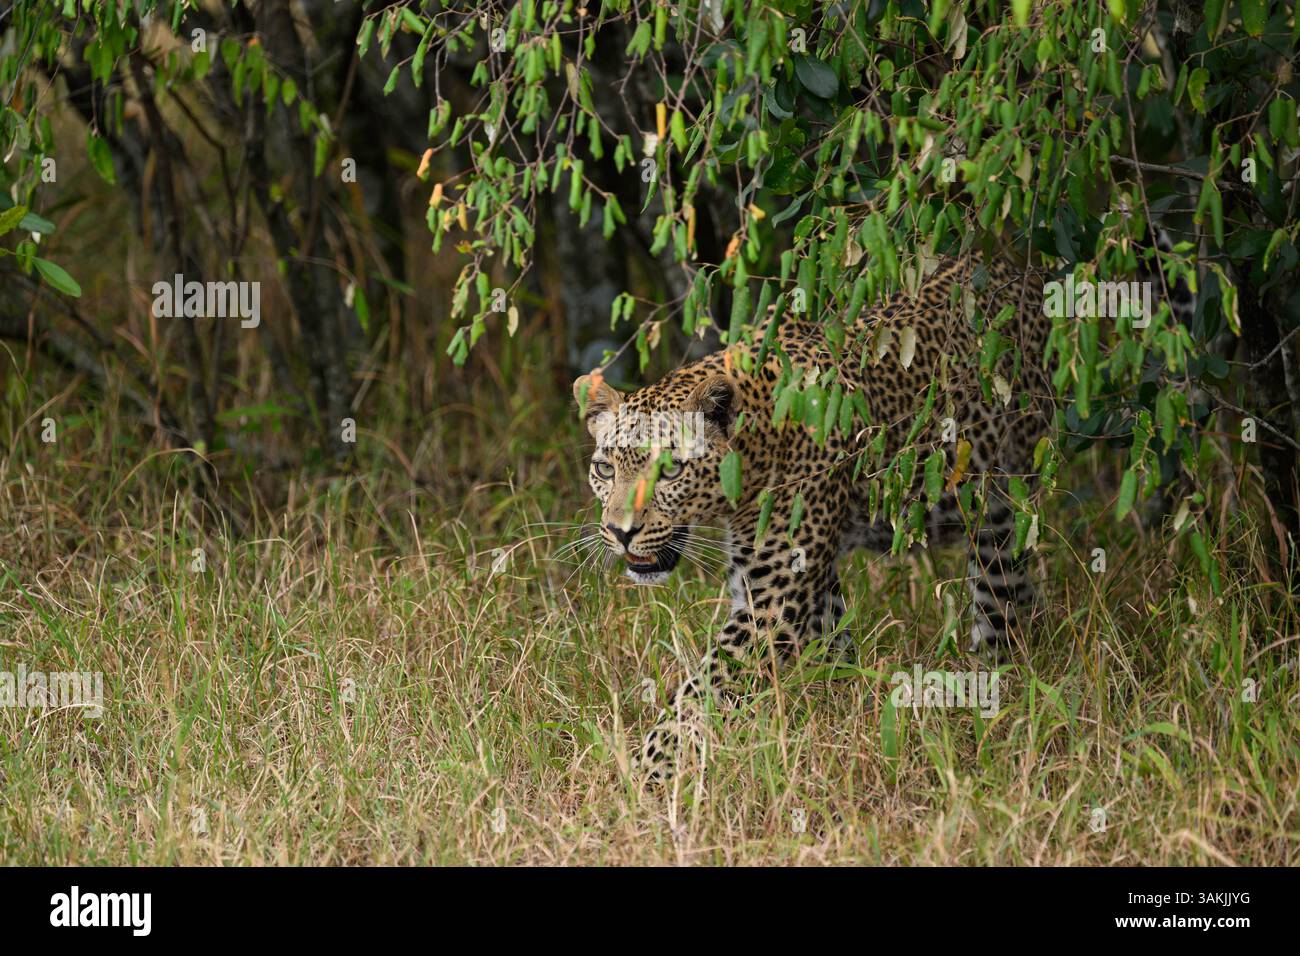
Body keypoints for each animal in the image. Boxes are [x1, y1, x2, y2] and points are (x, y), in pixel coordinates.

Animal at [573, 251, 1058, 784]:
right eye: (604, 469)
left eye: (672, 469)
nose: (620, 532)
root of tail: (1020, 268)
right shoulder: (786, 581)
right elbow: (834, 650)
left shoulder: (772, 605)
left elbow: (699, 694)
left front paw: (640, 781)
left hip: (1005, 496)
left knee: (999, 598)